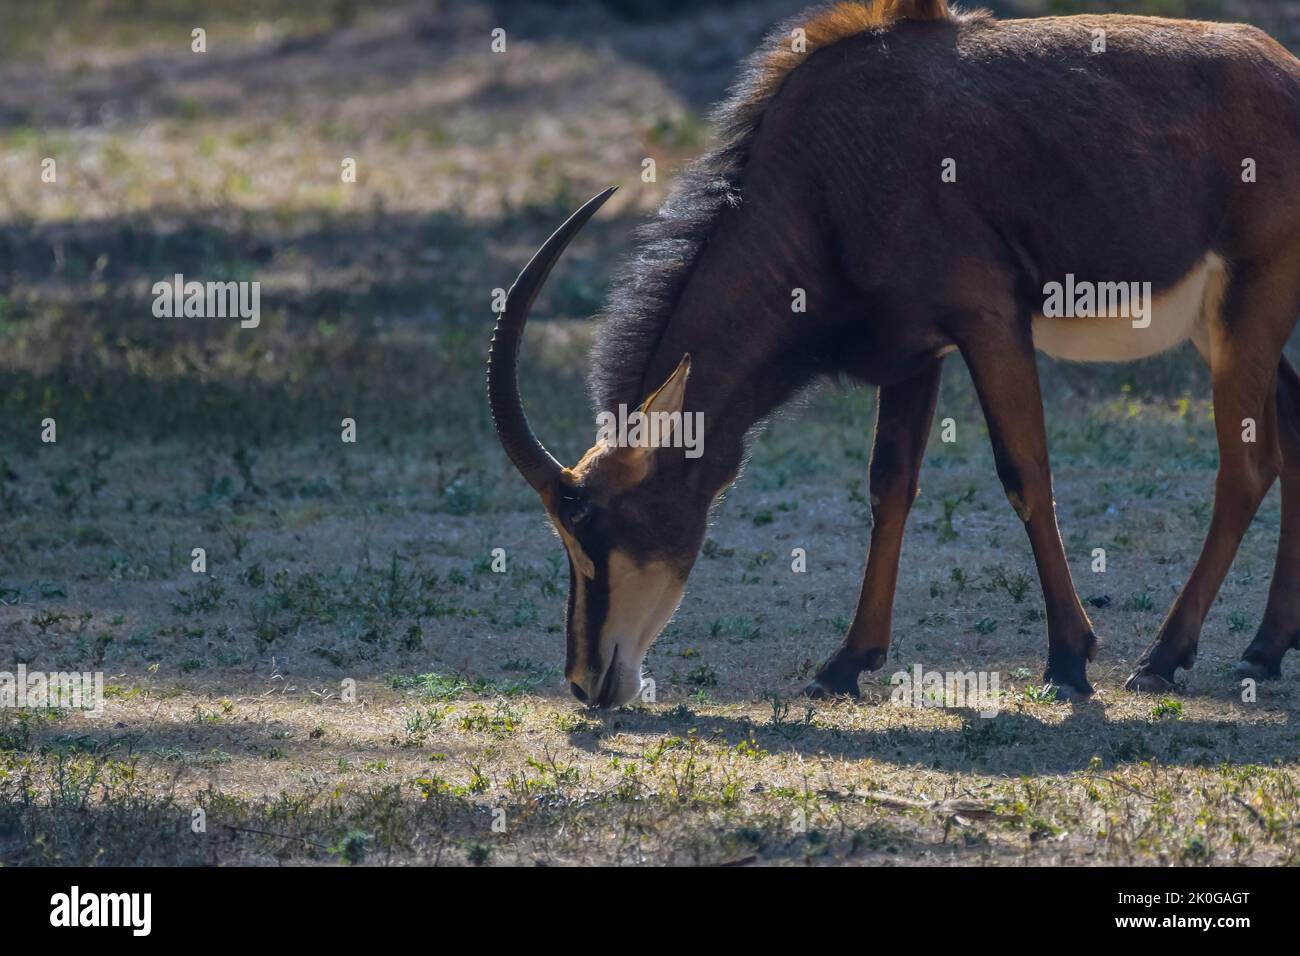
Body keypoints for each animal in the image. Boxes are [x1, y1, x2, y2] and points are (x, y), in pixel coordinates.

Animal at [487, 0, 1300, 708]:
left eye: (595, 524)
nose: (586, 683)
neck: (821, 186)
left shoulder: (988, 319)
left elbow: (1024, 474)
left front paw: (1070, 659)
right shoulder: (916, 352)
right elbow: (890, 486)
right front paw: (846, 663)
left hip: (1248, 307)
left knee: (1245, 468)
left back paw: (1164, 656)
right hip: (1237, 323)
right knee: (1285, 440)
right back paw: (1262, 648)